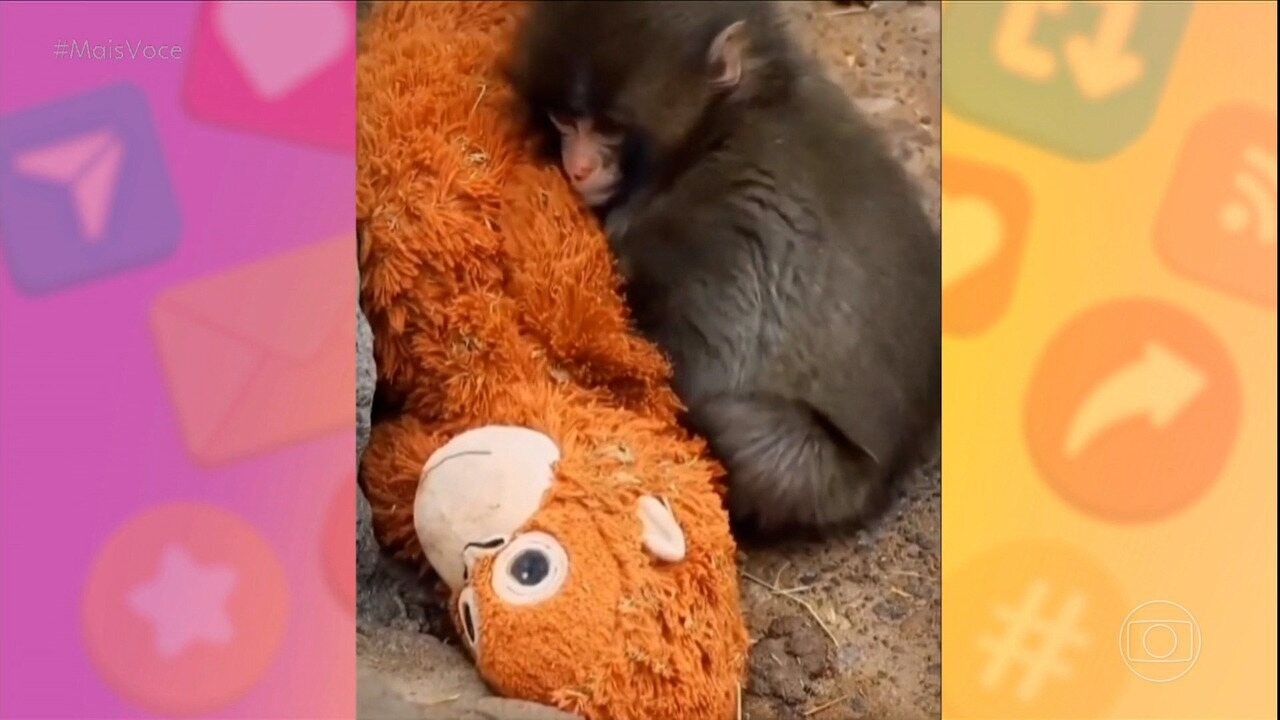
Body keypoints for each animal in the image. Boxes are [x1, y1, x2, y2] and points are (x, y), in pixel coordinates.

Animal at [507, 1, 940, 534]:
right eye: (566, 119)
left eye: (609, 127)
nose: (579, 167)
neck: (724, 125)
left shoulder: (721, 219)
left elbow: (693, 371)